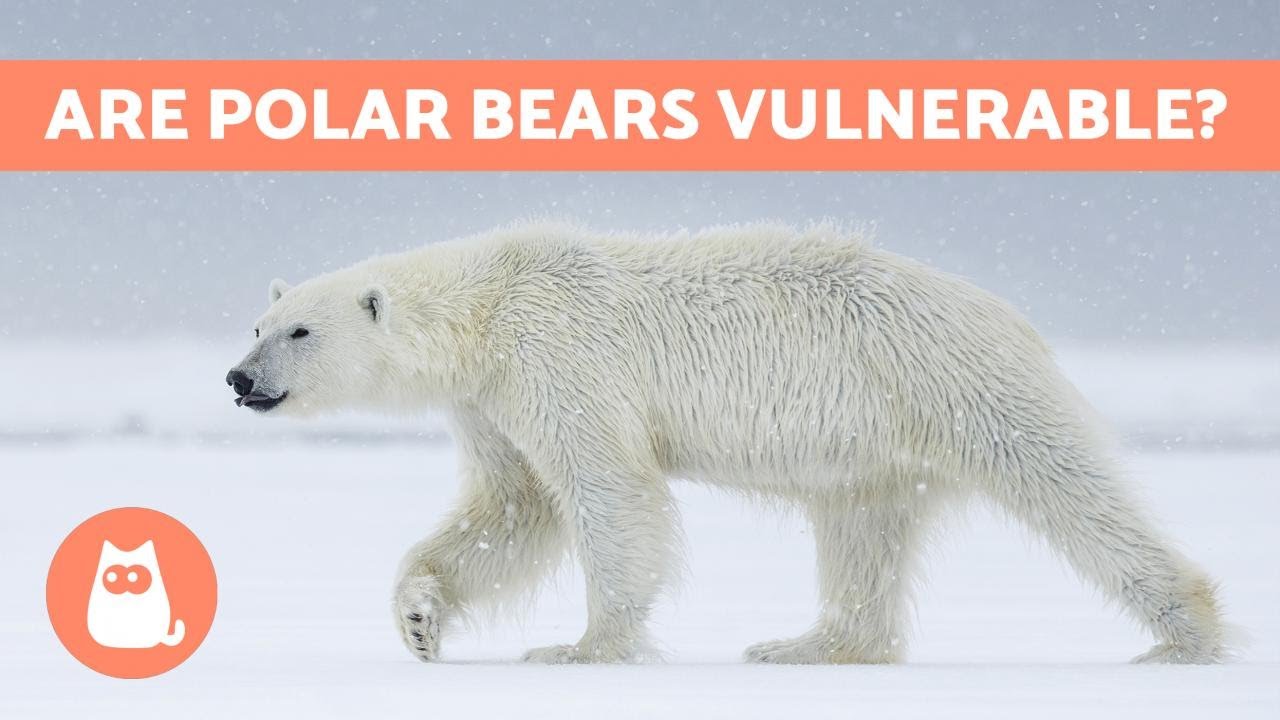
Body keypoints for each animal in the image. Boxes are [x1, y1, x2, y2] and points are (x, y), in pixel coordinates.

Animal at [226, 221, 1226, 665]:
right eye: (257, 322)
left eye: (300, 331)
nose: (238, 380)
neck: (489, 301)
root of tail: (1010, 316)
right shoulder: (491, 401)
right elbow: (509, 510)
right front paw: (419, 618)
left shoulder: (559, 357)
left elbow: (607, 491)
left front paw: (580, 647)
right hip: (878, 442)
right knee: (862, 527)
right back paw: (808, 644)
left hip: (950, 381)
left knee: (1067, 485)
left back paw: (1185, 633)